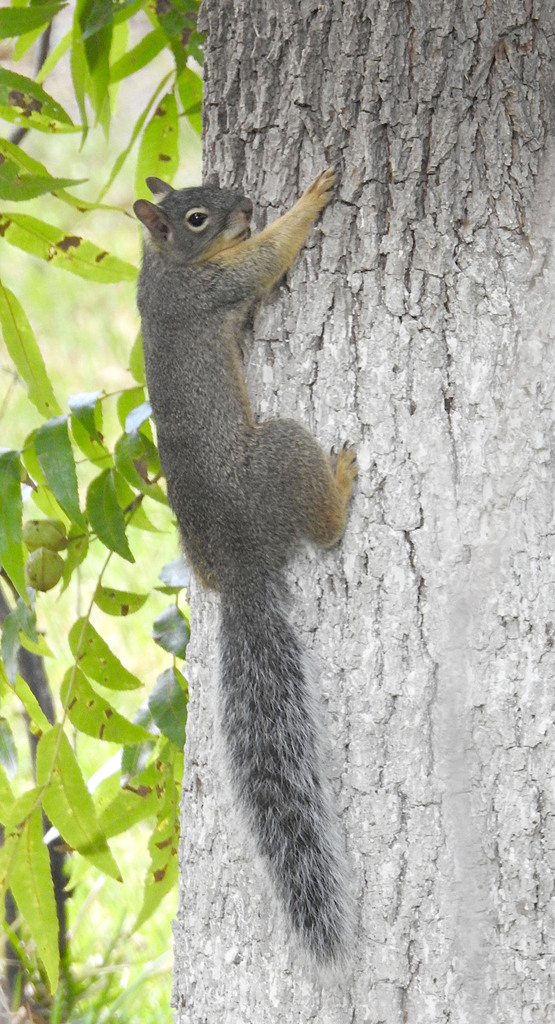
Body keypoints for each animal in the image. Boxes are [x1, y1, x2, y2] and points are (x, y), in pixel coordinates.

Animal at [134, 169, 357, 965]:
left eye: (204, 187)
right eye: (198, 216)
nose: (249, 202)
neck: (164, 267)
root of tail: (236, 570)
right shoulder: (218, 286)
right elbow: (268, 258)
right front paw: (310, 198)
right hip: (282, 450)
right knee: (324, 530)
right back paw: (341, 480)